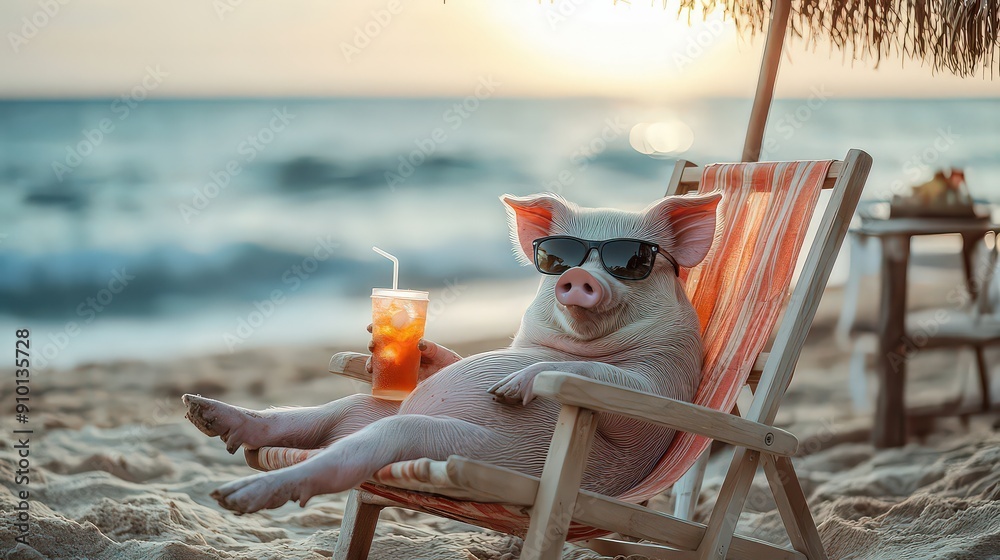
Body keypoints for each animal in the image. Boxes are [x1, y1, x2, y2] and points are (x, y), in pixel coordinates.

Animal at [183, 191, 721, 514]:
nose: (577, 277)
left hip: (464, 446)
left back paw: (235, 496)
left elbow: (609, 383)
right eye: (558, 259)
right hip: (362, 407)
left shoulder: (666, 387)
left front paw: (508, 390)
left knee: (357, 450)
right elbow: (457, 361)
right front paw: (405, 349)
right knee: (302, 418)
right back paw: (204, 415)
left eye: (632, 262)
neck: (579, 342)